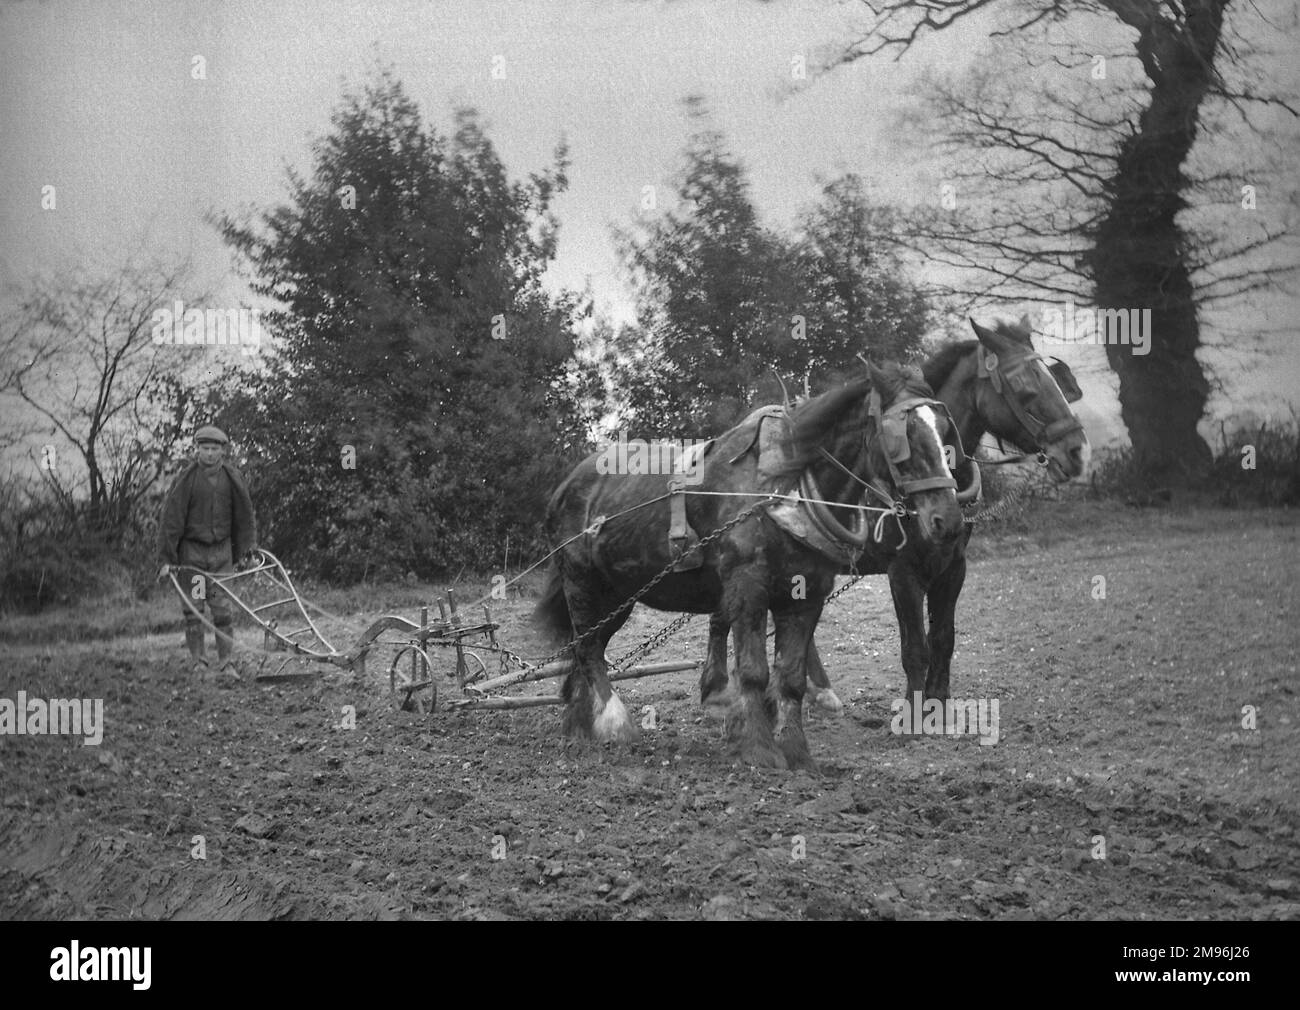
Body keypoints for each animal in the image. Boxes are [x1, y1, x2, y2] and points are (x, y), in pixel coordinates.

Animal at [533, 361, 979, 770]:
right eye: (904, 436)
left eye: (947, 432)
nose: (948, 519)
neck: (786, 488)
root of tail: (564, 485)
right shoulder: (749, 586)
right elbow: (753, 671)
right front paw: (759, 749)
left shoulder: (808, 593)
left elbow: (792, 678)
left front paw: (797, 752)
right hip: (582, 583)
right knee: (589, 649)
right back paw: (614, 722)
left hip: (618, 596)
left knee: (585, 648)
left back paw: (579, 726)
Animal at [700, 315, 1091, 713]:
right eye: (1025, 389)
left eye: (1056, 382)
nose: (1075, 450)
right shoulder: (902, 570)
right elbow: (915, 648)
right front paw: (915, 710)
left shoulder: (954, 564)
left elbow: (944, 640)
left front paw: (938, 704)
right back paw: (723, 686)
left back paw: (817, 687)